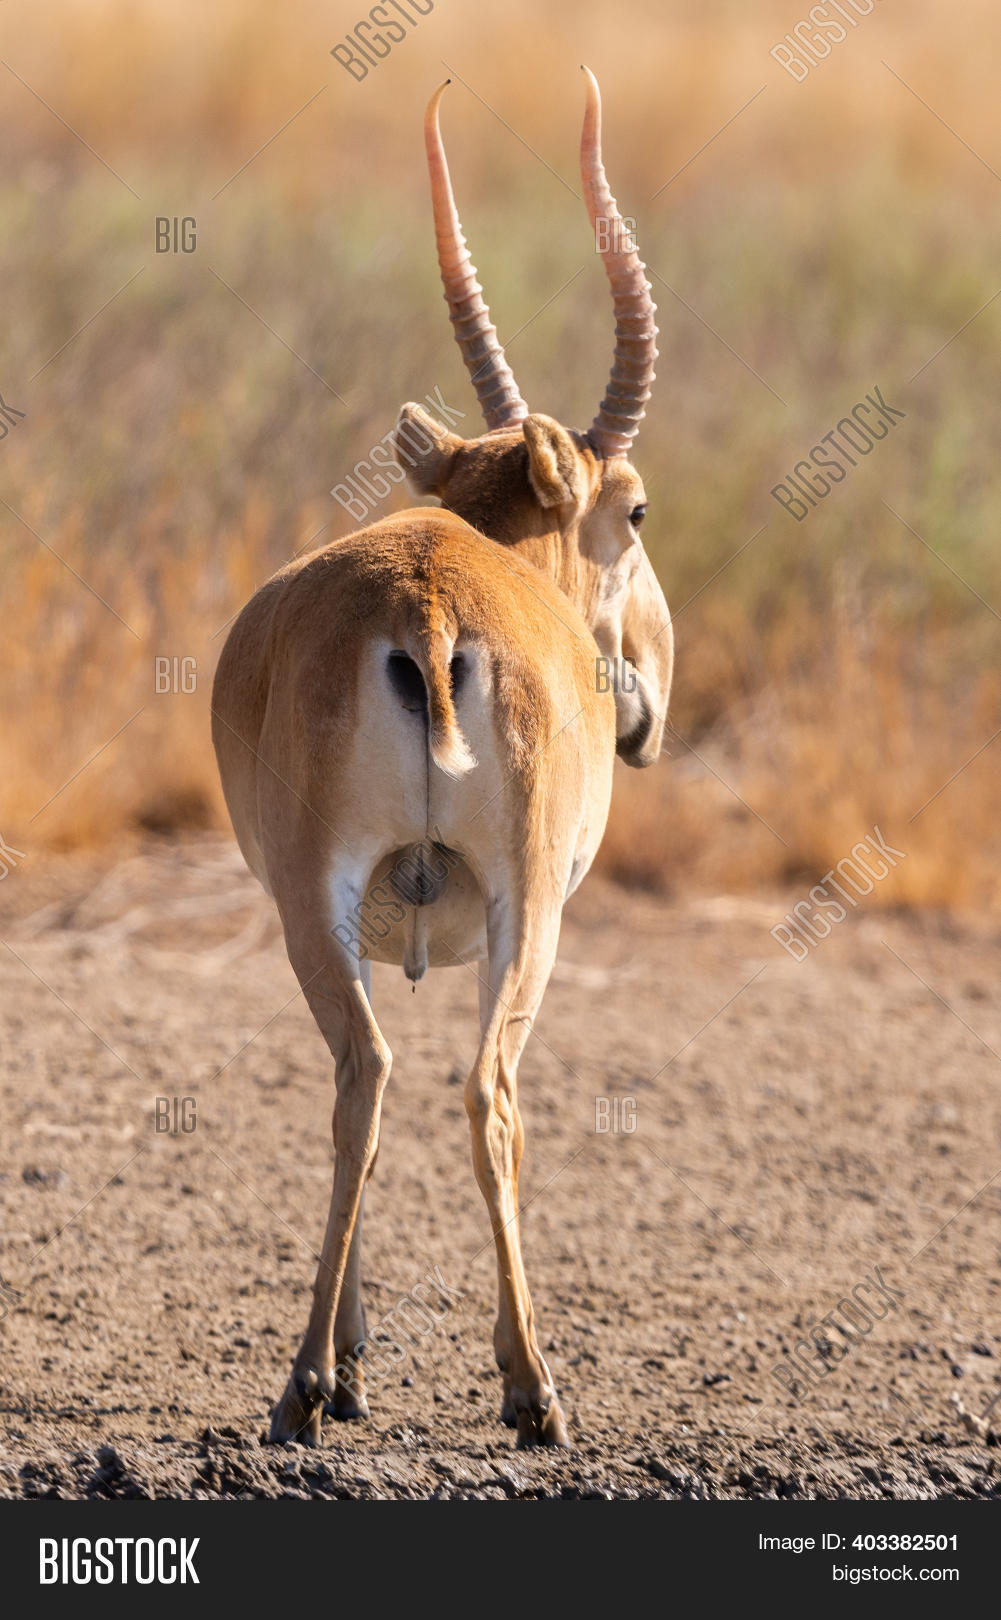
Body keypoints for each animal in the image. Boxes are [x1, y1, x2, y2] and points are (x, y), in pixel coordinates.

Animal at [212, 67, 673, 1449]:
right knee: (482, 1093)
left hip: (315, 904)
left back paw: (311, 1384)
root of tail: (422, 604)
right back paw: (526, 1391)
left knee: (360, 1079)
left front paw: (358, 1359)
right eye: (634, 510)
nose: (648, 703)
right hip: (529, 914)